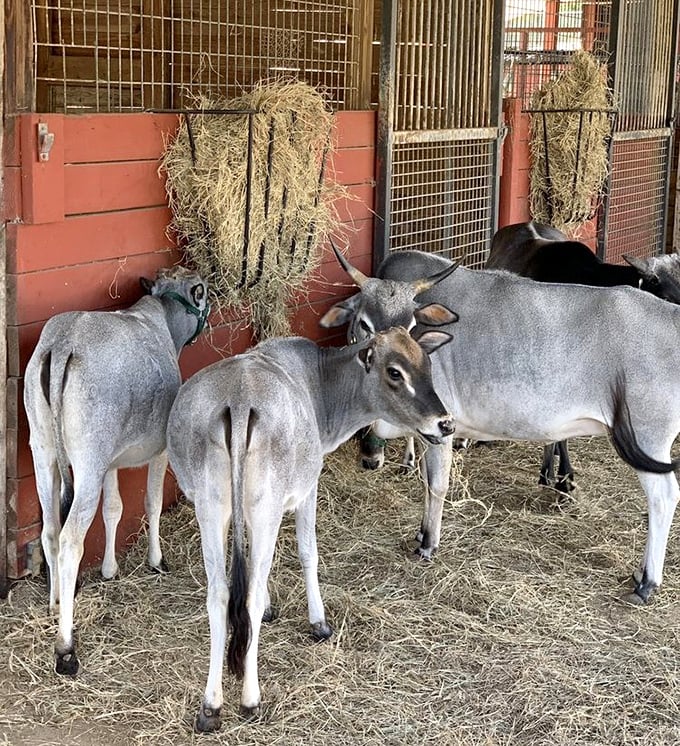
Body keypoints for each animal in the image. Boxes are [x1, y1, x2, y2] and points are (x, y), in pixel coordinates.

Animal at [23, 266, 209, 677]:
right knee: (70, 540)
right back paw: (66, 648)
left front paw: (109, 569)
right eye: (202, 292)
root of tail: (64, 341)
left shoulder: (110, 461)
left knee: (49, 529)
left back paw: (56, 602)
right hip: (87, 460)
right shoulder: (158, 449)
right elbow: (151, 502)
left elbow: (114, 510)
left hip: (43, 448)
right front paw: (156, 561)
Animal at [166, 325, 456, 733]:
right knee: (245, 596)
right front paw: (318, 621)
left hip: (210, 506)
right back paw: (250, 699)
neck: (320, 386)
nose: (445, 423)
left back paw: (210, 706)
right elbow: (307, 552)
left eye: (427, 365)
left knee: (220, 593)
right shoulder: (308, 486)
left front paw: (271, 609)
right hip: (266, 505)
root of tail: (238, 400)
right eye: (394, 372)